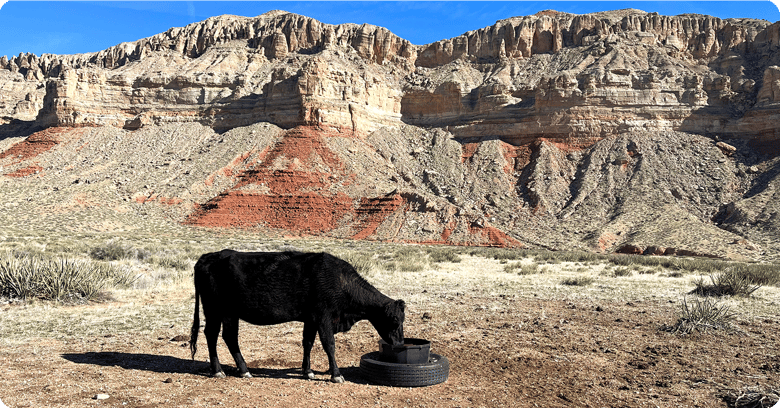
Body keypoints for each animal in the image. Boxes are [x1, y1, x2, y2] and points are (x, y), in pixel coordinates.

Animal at [189, 249, 406, 383]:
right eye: (395, 321)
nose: (400, 344)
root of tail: (207, 257)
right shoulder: (323, 317)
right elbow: (329, 344)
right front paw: (336, 374)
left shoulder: (310, 319)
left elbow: (307, 343)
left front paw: (307, 371)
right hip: (215, 310)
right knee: (215, 335)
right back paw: (220, 370)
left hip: (228, 313)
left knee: (226, 336)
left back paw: (241, 370)